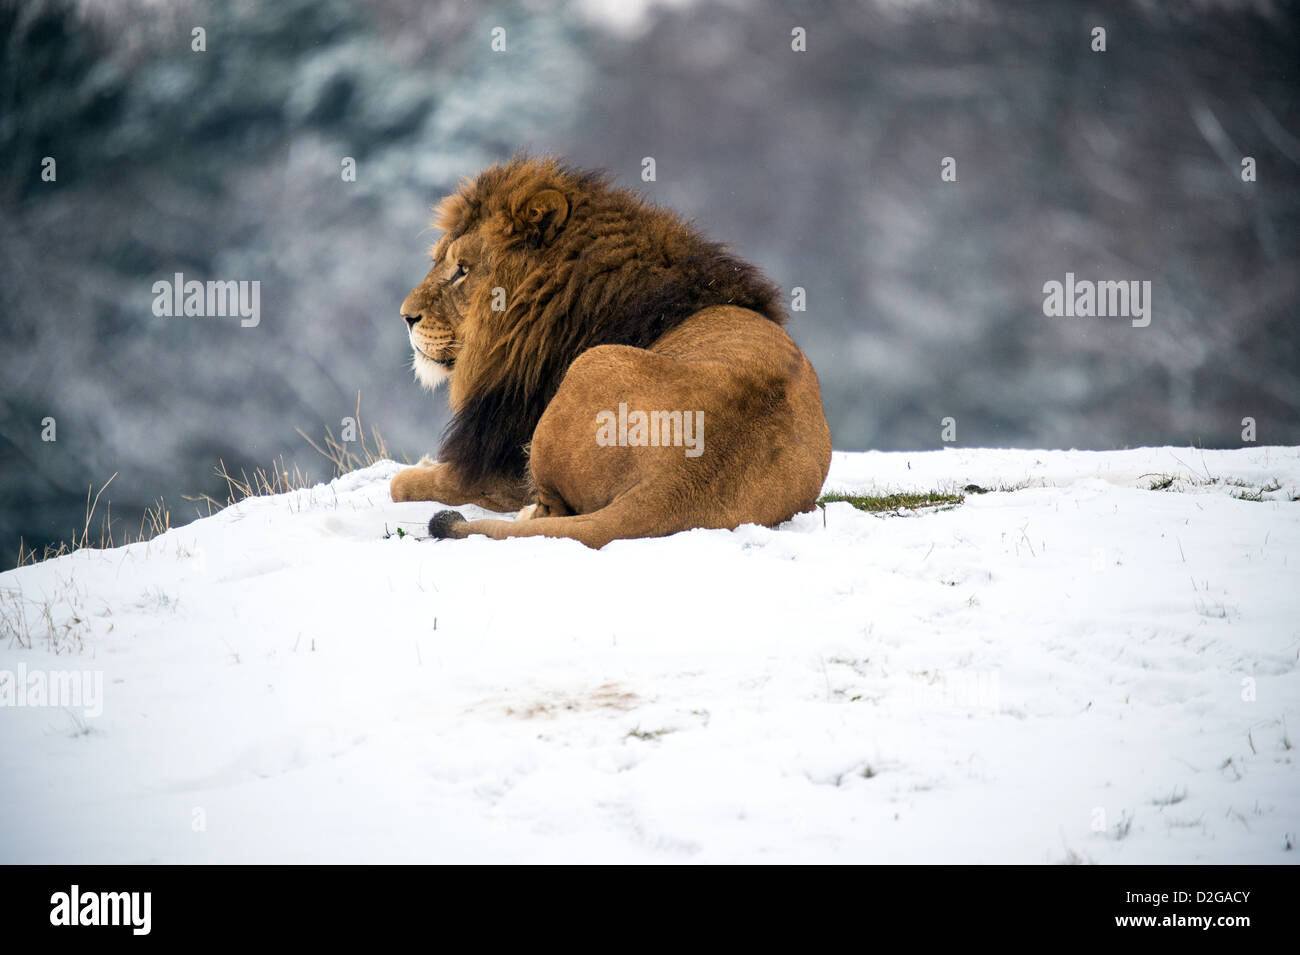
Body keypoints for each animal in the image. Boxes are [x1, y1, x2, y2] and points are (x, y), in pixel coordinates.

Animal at [389, 156, 831, 548]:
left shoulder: (498, 469)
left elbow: (401, 484)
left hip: (590, 365)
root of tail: (678, 481)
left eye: (462, 269)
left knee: (550, 510)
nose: (406, 316)